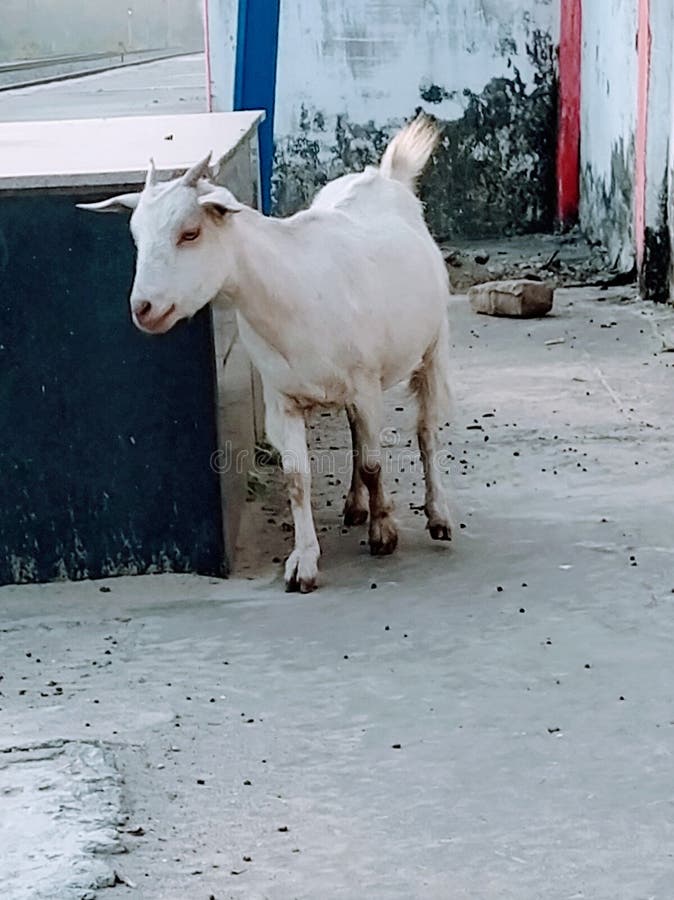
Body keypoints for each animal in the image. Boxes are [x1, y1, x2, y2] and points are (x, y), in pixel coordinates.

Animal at [79, 114, 453, 592]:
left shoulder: (366, 385)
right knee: (357, 435)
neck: (291, 288)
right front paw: (304, 562)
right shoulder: (283, 398)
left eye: (190, 233)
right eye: (136, 238)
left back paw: (437, 515)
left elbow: (374, 462)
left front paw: (384, 531)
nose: (143, 308)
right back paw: (355, 506)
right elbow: (297, 477)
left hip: (433, 345)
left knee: (426, 431)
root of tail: (386, 176)